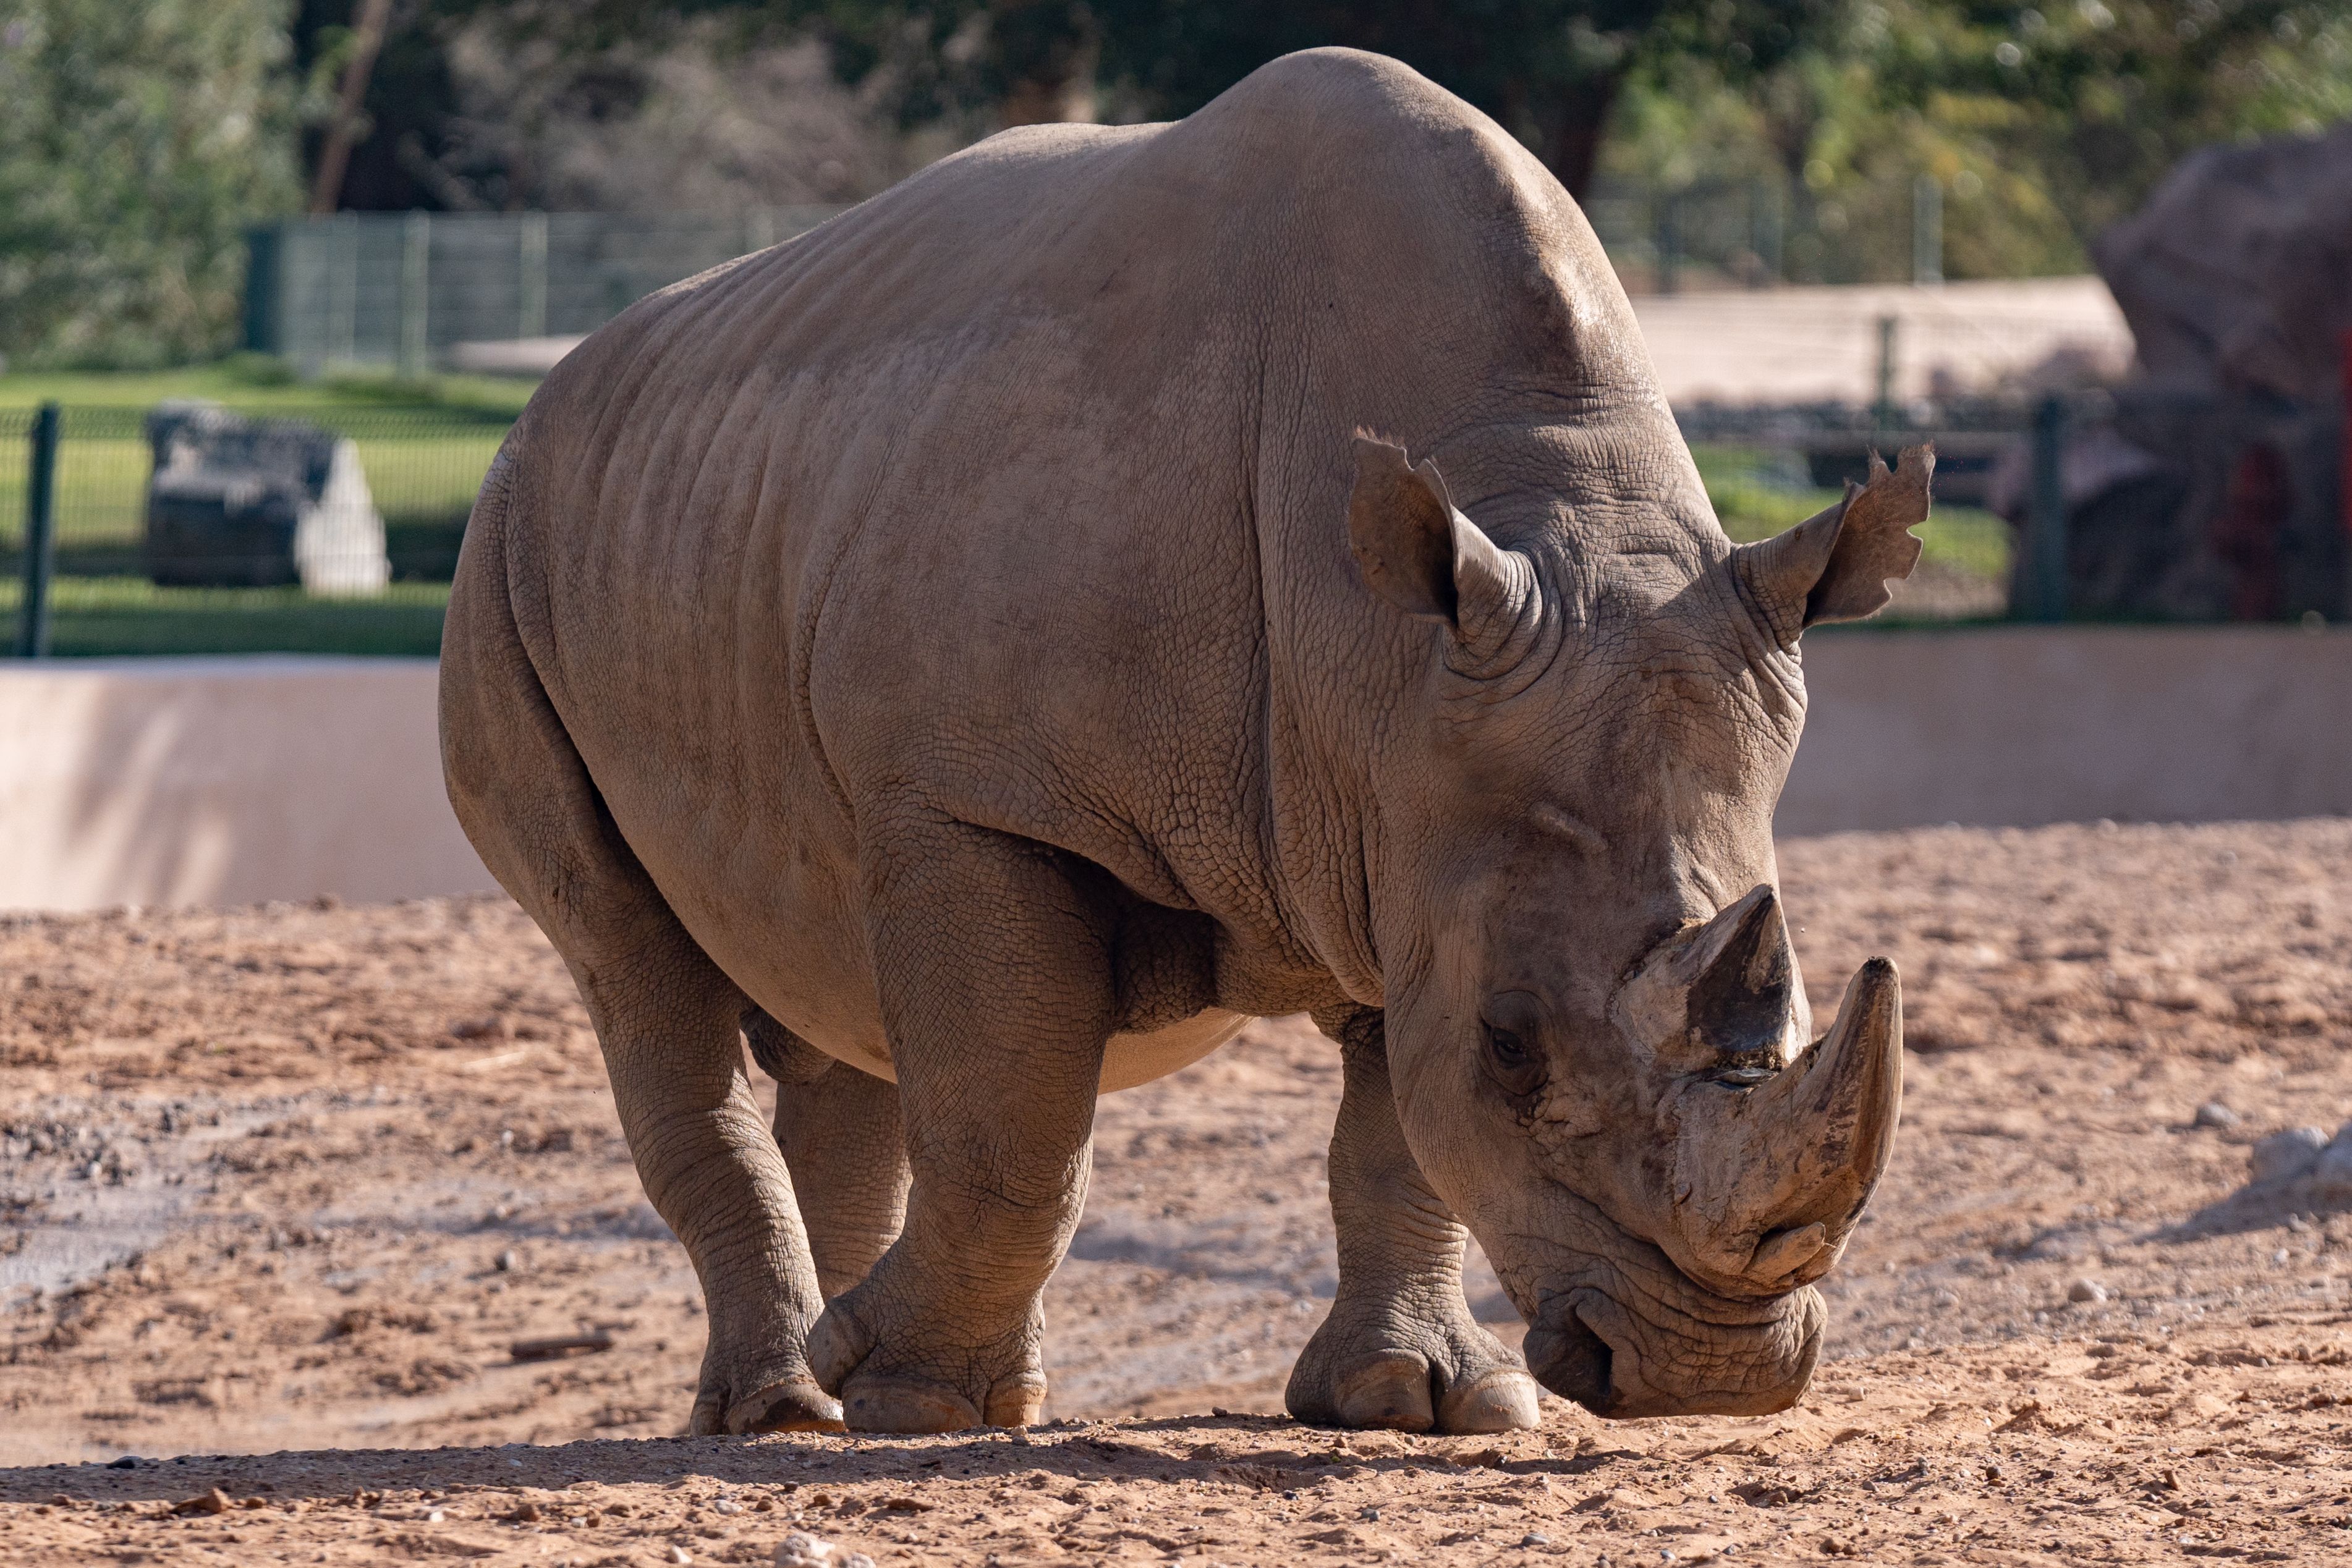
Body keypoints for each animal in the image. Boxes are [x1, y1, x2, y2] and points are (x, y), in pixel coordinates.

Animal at [441, 48, 1926, 1437]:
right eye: (1513, 1045)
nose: (1710, 1372)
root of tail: (562, 387)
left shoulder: (1405, 817)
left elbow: (1393, 1129)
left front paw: (1409, 1400)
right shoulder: (984, 798)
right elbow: (1014, 1125)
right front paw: (918, 1400)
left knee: (832, 988)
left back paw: (826, 1379)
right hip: (503, 556)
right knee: (631, 953)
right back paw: (791, 1403)